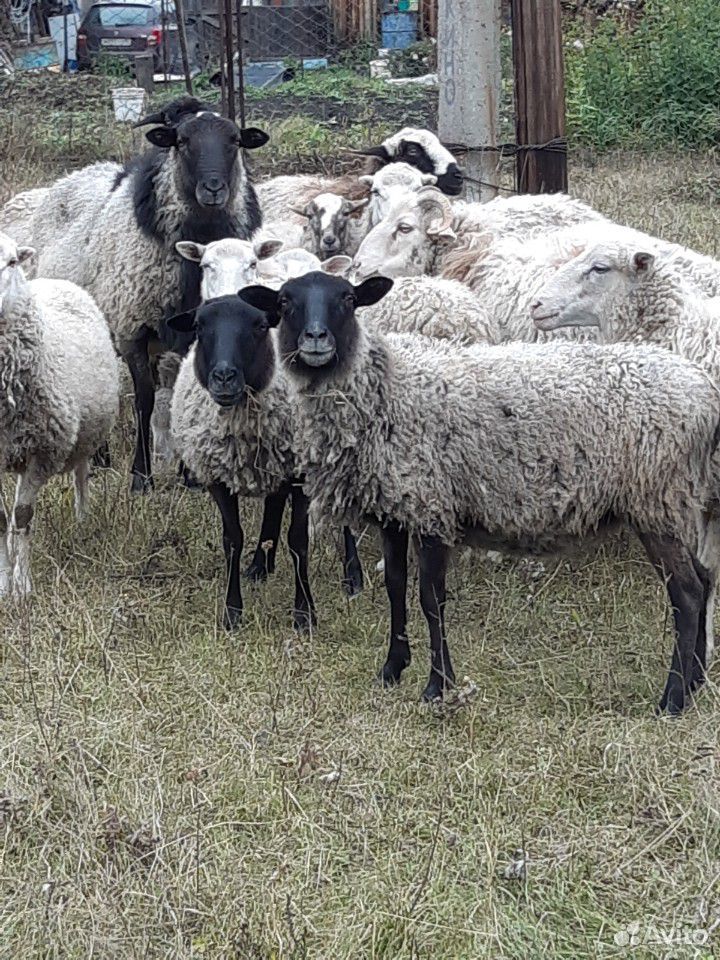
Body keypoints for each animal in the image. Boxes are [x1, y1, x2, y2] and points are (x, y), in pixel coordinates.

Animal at [0, 232, 119, 598]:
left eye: (12, 262)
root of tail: (55, 280)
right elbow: (2, 519)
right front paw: (4, 582)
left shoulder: (43, 452)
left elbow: (23, 517)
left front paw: (22, 587)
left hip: (86, 432)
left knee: (80, 472)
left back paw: (82, 520)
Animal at [39, 112, 269, 494]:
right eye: (182, 141)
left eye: (235, 141)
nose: (214, 189)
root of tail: (78, 173)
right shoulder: (133, 330)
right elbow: (144, 401)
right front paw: (140, 477)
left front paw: (191, 476)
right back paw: (99, 457)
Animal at [239, 272, 720, 716]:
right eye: (285, 302)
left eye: (348, 299)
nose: (315, 339)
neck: (387, 389)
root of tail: (705, 395)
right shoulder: (396, 507)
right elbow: (396, 587)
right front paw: (392, 669)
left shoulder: (432, 505)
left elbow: (430, 599)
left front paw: (437, 686)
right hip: (674, 503)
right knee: (705, 578)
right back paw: (696, 681)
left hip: (656, 499)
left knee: (688, 593)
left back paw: (673, 698)